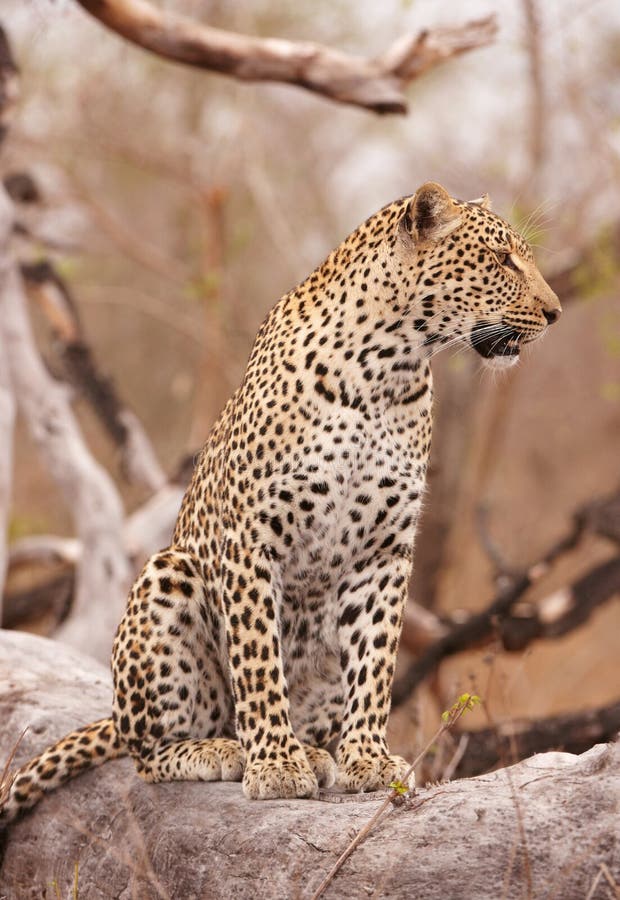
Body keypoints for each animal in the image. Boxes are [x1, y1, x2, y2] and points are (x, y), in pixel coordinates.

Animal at [1, 182, 560, 823]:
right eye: (502, 260)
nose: (555, 313)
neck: (390, 369)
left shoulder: (384, 553)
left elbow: (376, 662)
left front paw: (366, 758)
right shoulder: (251, 538)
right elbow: (258, 659)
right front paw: (273, 764)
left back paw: (317, 752)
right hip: (168, 575)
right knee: (147, 754)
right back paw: (223, 750)